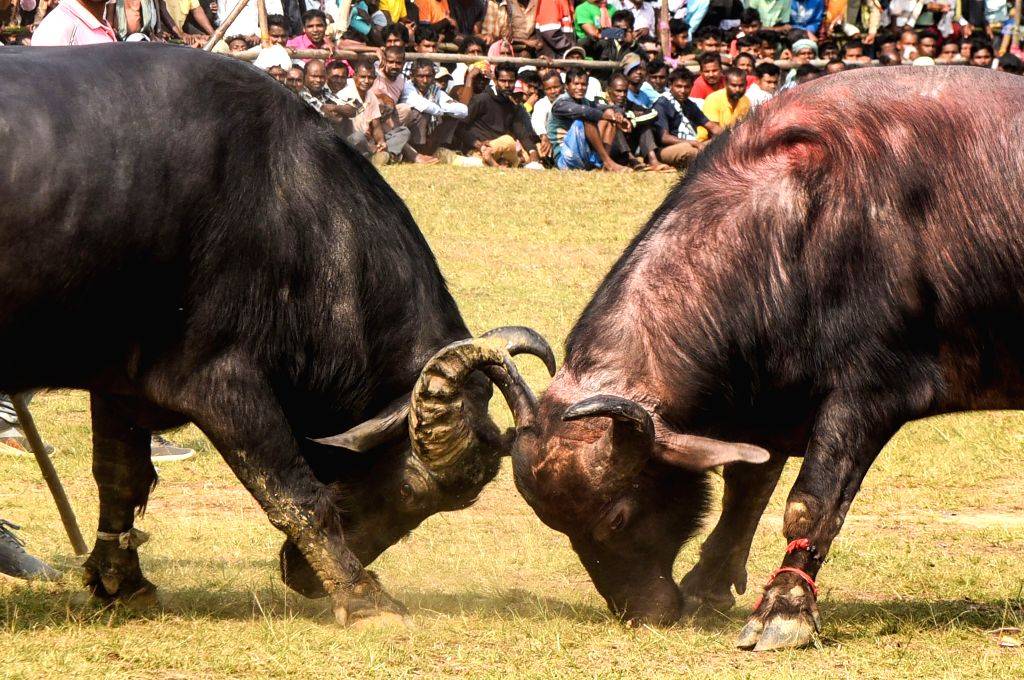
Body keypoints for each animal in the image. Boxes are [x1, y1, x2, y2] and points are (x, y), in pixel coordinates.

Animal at [0, 45, 553, 628]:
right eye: (414, 488)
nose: (304, 579)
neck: (293, 211)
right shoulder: (222, 381)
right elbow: (295, 494)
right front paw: (365, 598)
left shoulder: (122, 385)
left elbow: (119, 478)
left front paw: (121, 582)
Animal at [512, 66, 1024, 651]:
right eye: (561, 527)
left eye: (617, 518)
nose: (640, 611)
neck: (803, 221)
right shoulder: (766, 403)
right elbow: (746, 488)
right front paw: (709, 585)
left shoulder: (871, 393)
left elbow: (809, 505)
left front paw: (784, 609)